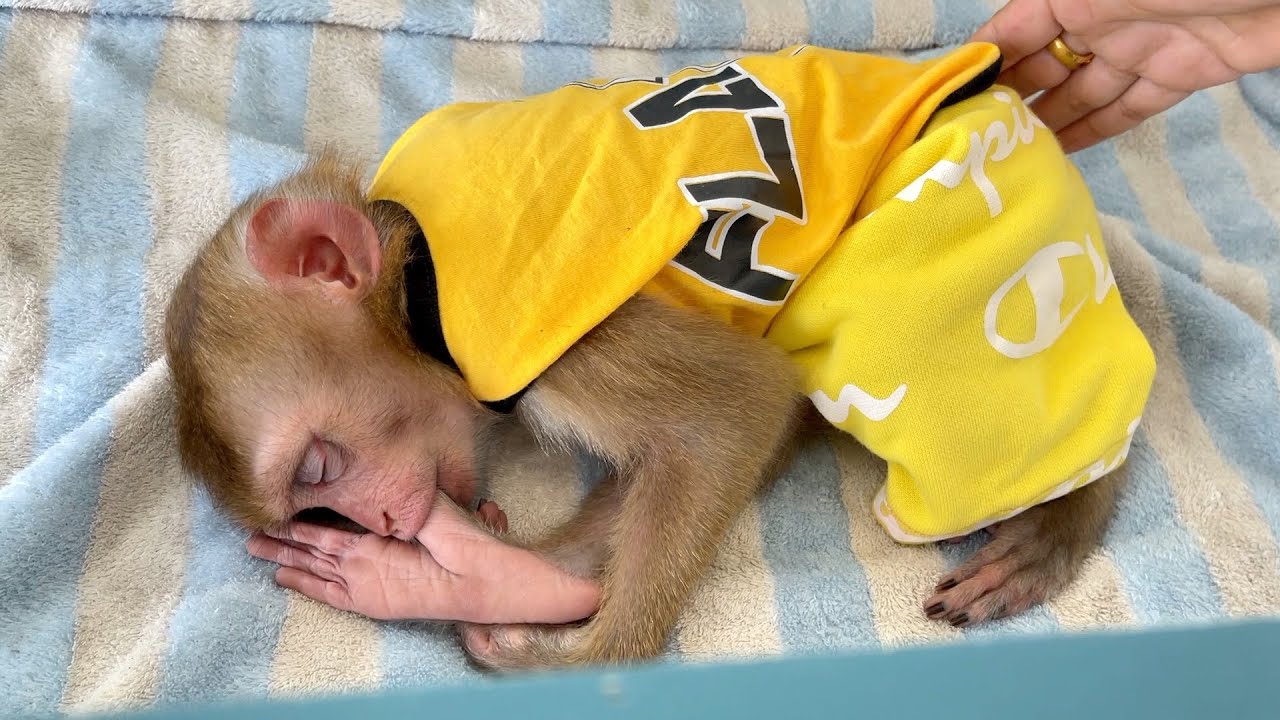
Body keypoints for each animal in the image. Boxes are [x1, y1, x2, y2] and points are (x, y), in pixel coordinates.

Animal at [164, 43, 1156, 670]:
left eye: (320, 466)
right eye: (319, 506)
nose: (382, 524)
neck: (416, 270)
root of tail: (1005, 100)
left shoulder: (540, 330)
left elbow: (739, 408)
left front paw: (571, 660)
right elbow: (760, 419)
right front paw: (485, 581)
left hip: (965, 207)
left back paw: (1073, 503)